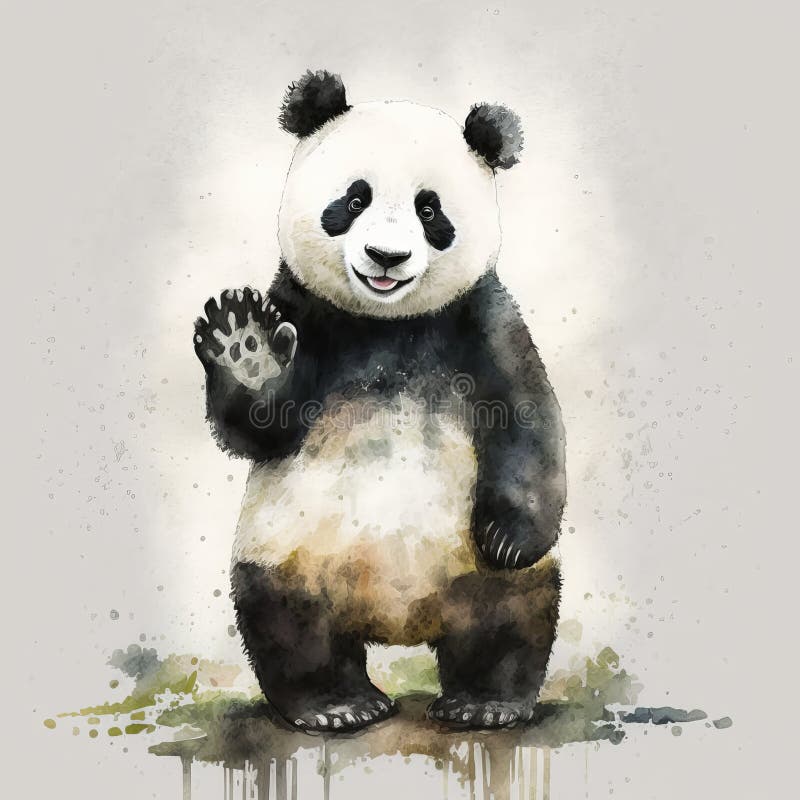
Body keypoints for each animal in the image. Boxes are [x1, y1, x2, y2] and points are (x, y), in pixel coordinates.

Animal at [194, 70, 566, 733]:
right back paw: (337, 704)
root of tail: (399, 623)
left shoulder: (480, 314)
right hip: (287, 551)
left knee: (513, 617)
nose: (387, 257)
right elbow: (262, 430)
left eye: (429, 208)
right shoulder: (305, 309)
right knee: (285, 624)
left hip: (476, 574)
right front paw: (245, 347)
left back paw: (484, 703)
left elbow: (526, 410)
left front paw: (511, 534)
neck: (387, 323)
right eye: (353, 200)